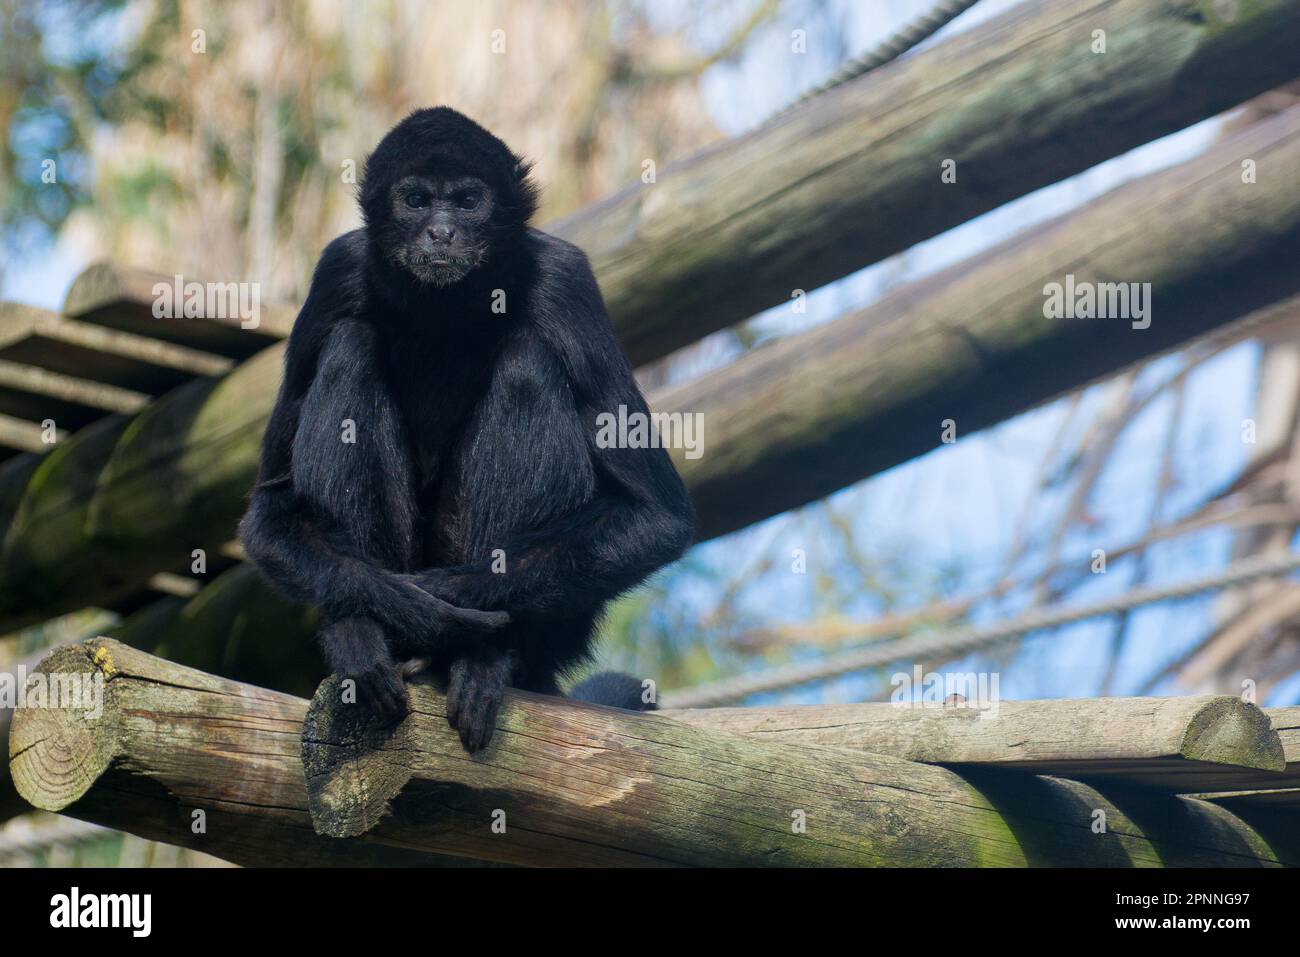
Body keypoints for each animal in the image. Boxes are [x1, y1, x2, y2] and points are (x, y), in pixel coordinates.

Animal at [239, 107, 695, 752]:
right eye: (416, 200)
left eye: (467, 200)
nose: (440, 232)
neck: (447, 305)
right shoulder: (337, 271)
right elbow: (269, 516)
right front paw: (412, 606)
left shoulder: (566, 279)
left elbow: (657, 516)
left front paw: (448, 600)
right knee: (351, 345)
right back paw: (365, 636)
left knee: (528, 360)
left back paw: (486, 656)